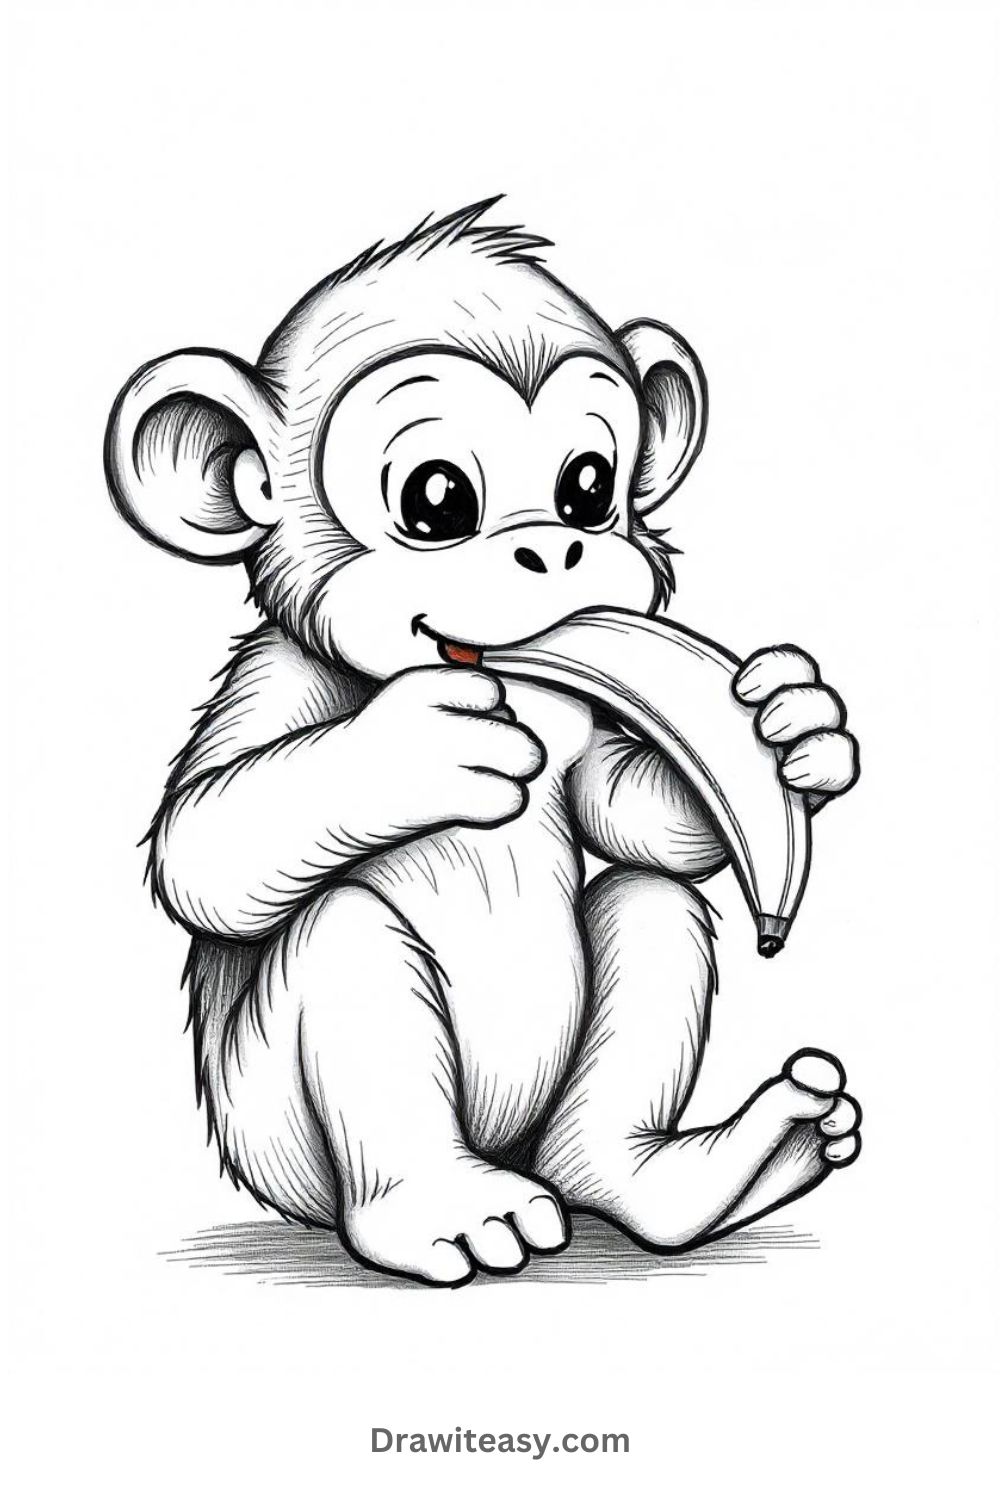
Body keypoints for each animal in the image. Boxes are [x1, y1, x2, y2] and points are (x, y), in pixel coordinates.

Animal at [105, 199, 861, 1286]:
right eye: (436, 500)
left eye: (588, 486)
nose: (557, 544)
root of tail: (506, 1151)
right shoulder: (274, 677)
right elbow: (202, 851)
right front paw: (411, 750)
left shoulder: (580, 714)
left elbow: (633, 823)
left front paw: (797, 725)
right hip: (276, 1135)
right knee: (342, 933)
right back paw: (450, 1210)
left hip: (558, 1100)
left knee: (653, 904)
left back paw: (694, 1174)